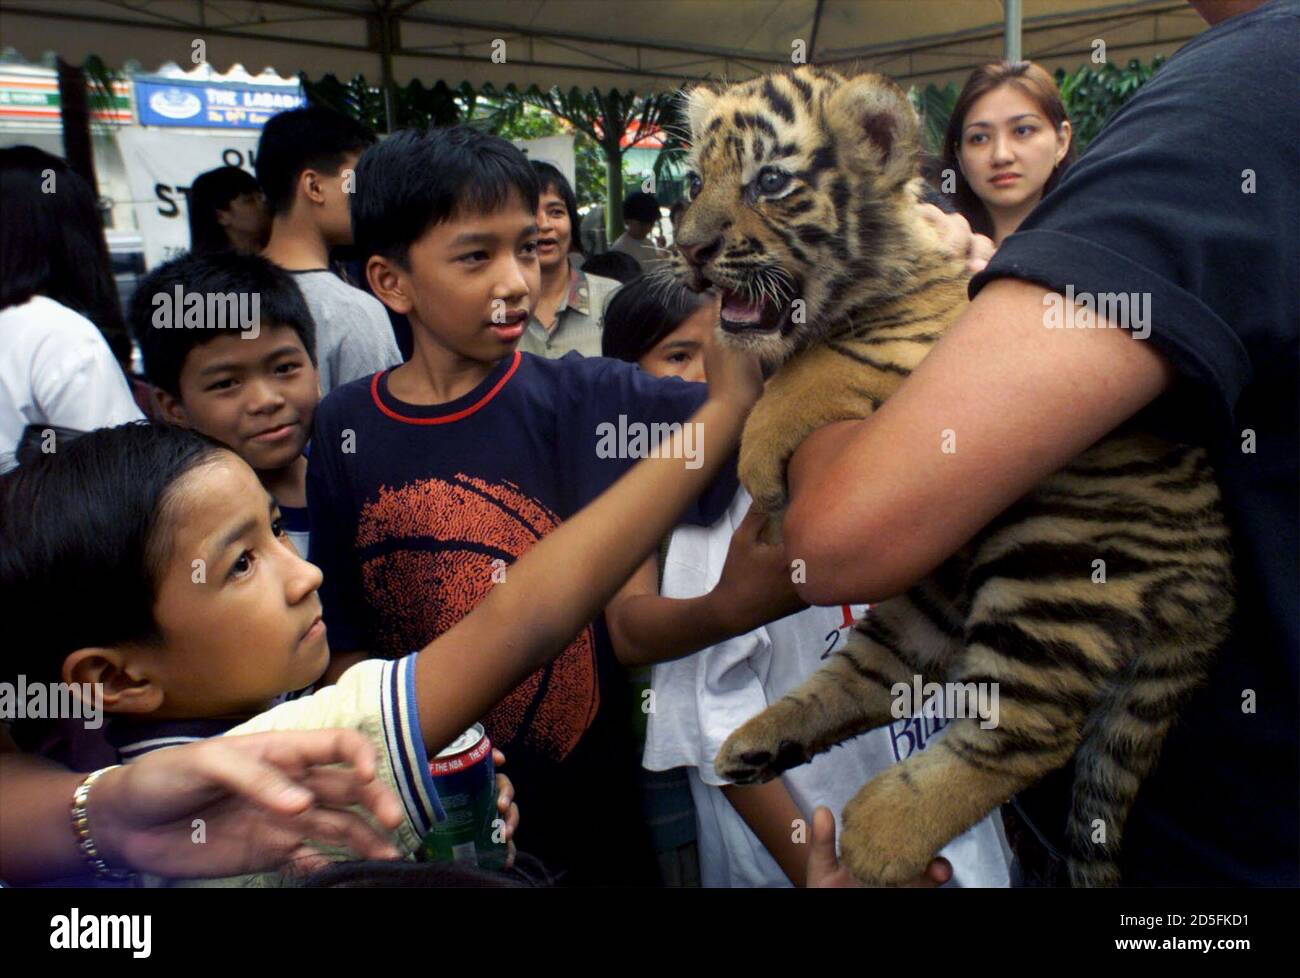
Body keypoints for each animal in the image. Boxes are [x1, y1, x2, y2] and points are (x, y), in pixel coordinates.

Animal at [666, 65, 1235, 886]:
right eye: (692, 180)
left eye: (769, 181)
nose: (690, 249)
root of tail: (1213, 586)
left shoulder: (918, 347)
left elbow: (814, 370)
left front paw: (760, 463)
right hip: (932, 596)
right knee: (873, 678)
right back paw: (759, 746)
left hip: (1054, 560)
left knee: (1030, 729)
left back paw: (879, 836)